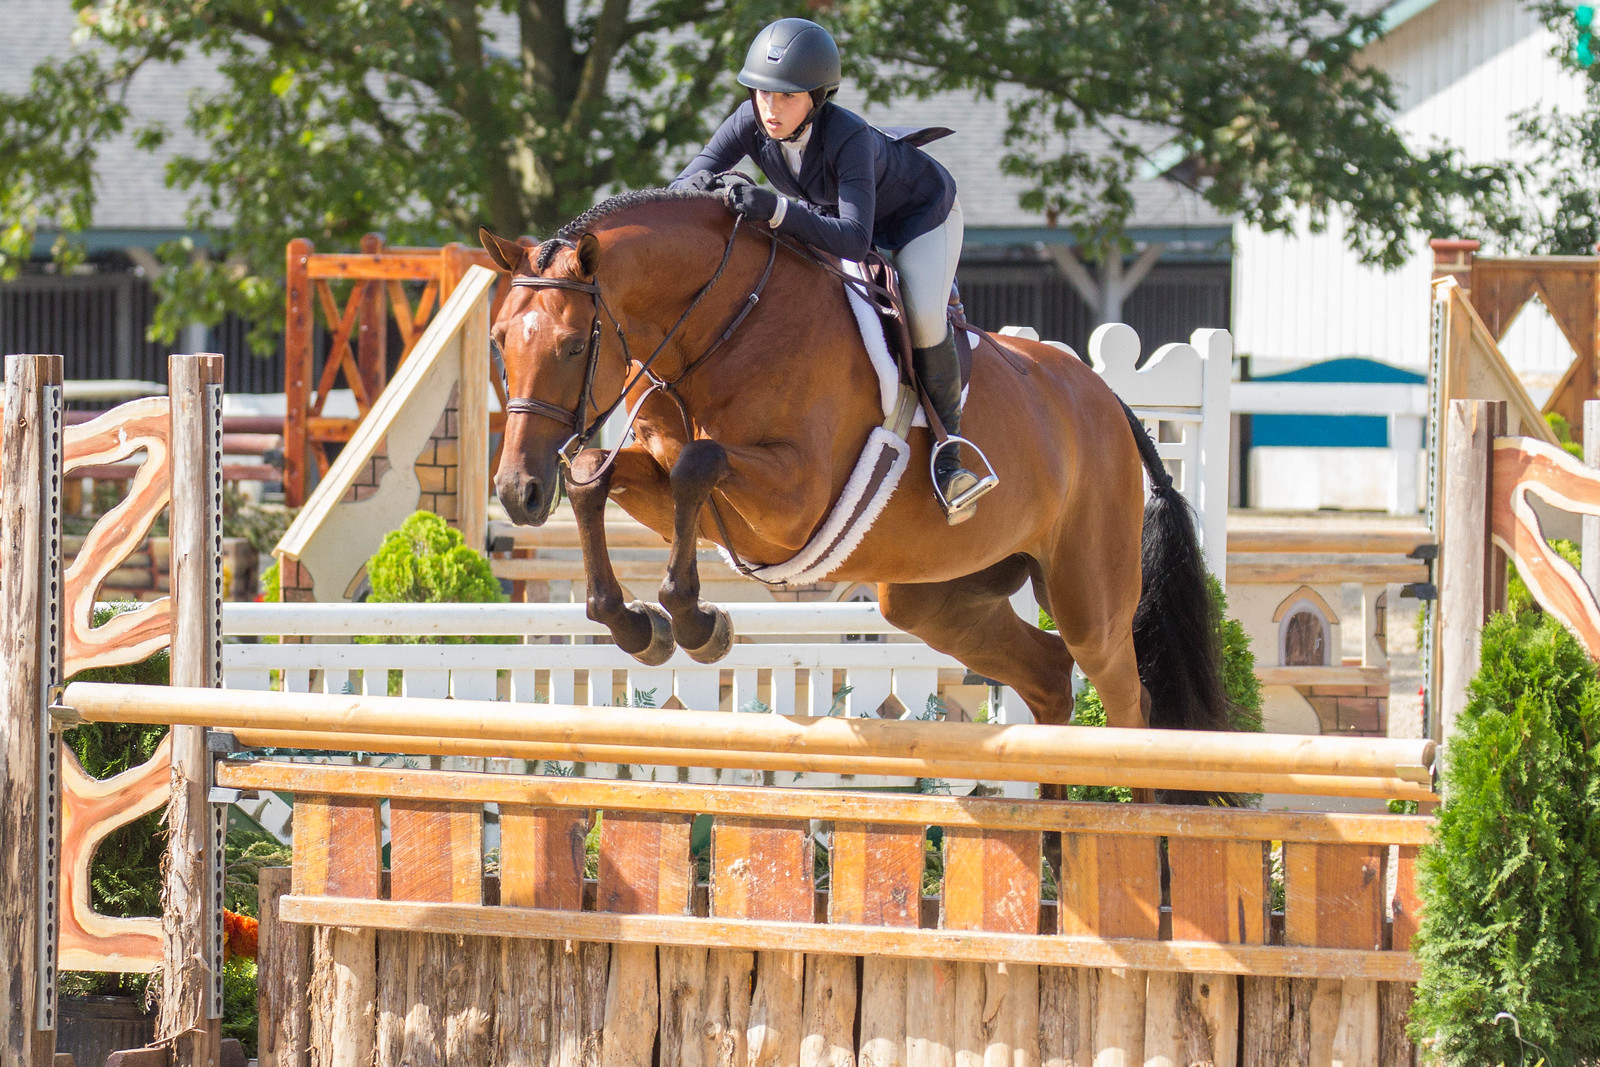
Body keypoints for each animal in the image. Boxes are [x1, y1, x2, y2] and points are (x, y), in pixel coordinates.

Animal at [479, 188, 1233, 772]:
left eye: (574, 345)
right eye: (499, 340)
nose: (517, 491)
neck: (725, 325)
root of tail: (1108, 401)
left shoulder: (791, 501)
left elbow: (700, 464)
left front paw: (694, 621)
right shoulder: (664, 482)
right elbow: (591, 480)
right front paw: (636, 624)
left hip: (1090, 603)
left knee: (1130, 707)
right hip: (935, 597)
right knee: (1049, 677)